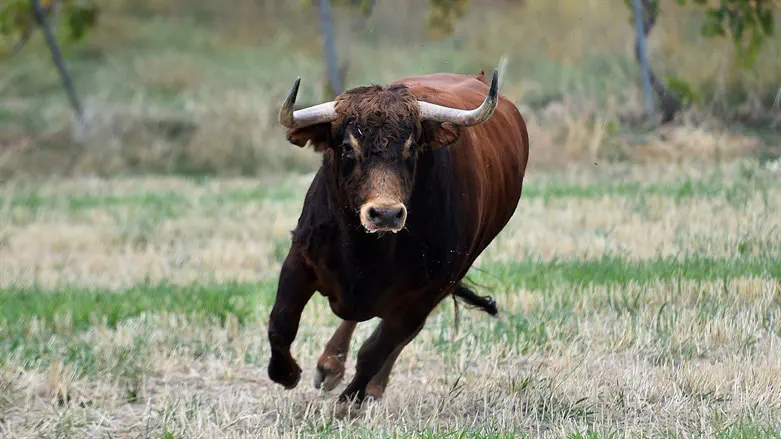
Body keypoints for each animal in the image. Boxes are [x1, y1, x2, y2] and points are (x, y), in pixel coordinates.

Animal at [266, 65, 530, 404]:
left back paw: (370, 384)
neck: (364, 250)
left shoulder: (426, 293)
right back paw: (330, 366)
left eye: (411, 147)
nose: (386, 214)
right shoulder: (300, 258)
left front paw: (351, 401)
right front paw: (286, 374)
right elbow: (281, 323)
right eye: (348, 147)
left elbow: (377, 349)